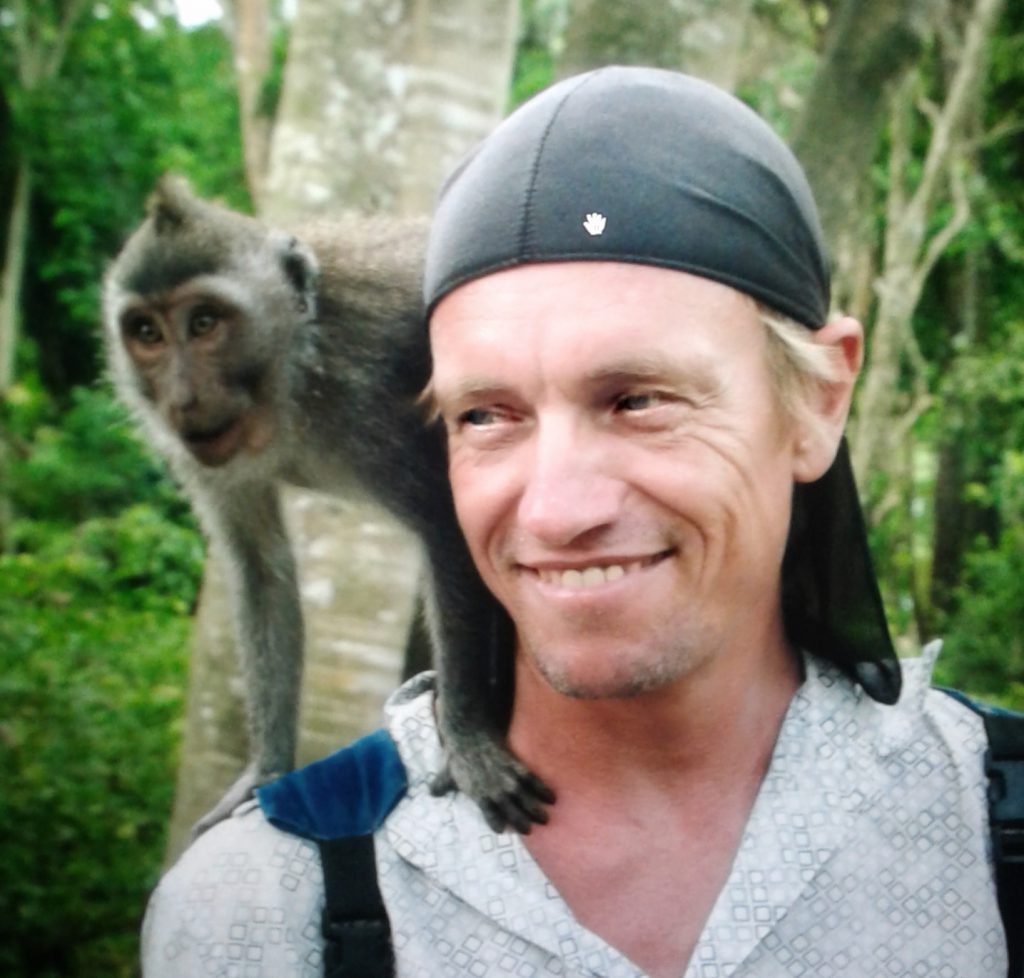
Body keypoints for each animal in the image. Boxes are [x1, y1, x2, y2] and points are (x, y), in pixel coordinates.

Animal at [102, 176, 554, 835]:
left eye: (205, 322)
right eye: (147, 333)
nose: (182, 398)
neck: (297, 365)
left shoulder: (373, 397)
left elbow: (449, 530)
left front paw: (469, 738)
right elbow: (261, 569)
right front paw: (264, 770)